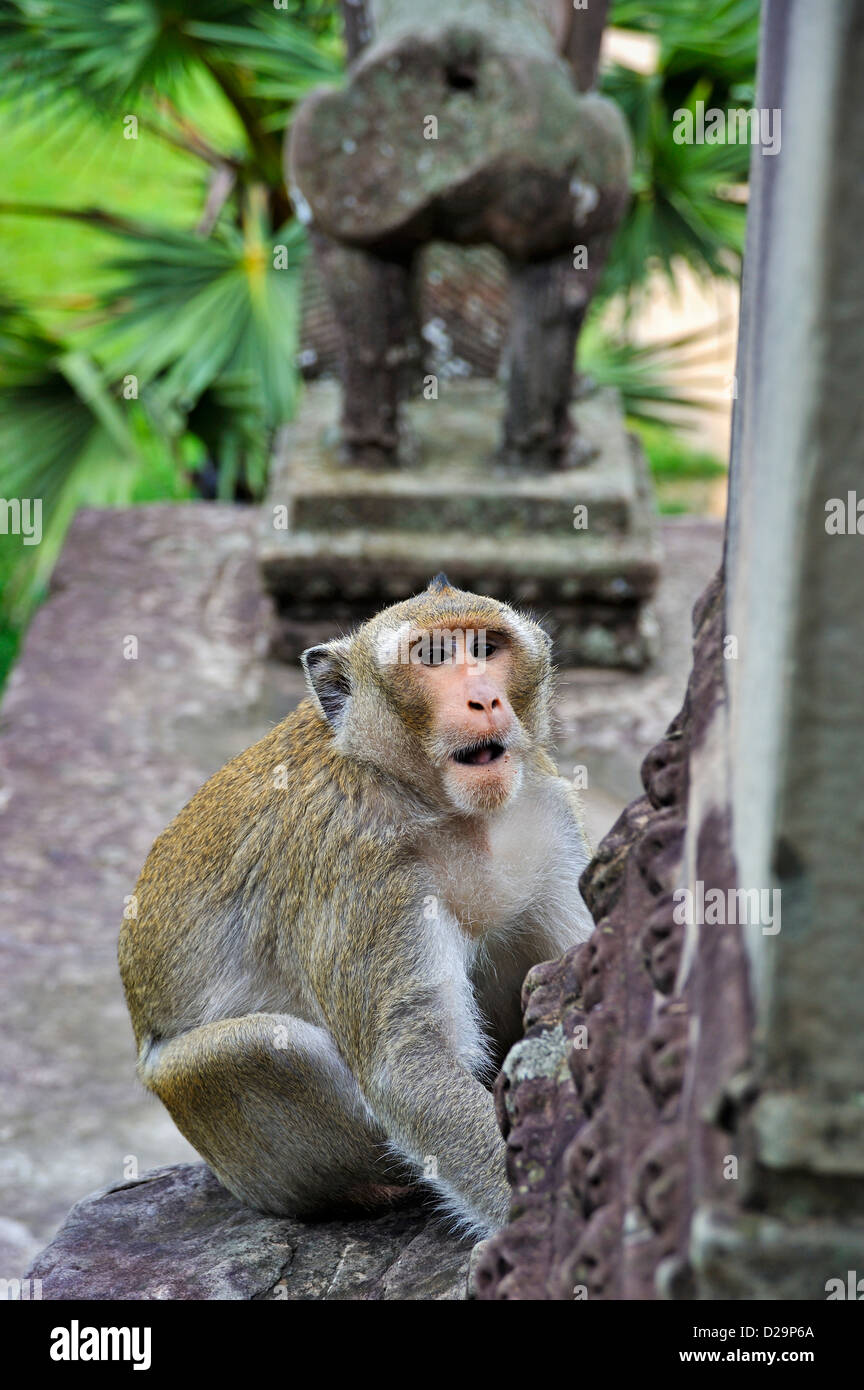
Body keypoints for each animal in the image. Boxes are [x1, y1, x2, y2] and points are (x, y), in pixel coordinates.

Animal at [118, 574, 595, 1237]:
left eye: (486, 649)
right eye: (432, 658)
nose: (484, 699)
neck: (442, 805)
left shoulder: (546, 810)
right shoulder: (357, 860)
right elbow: (411, 1067)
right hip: (207, 1113)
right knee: (268, 1046)